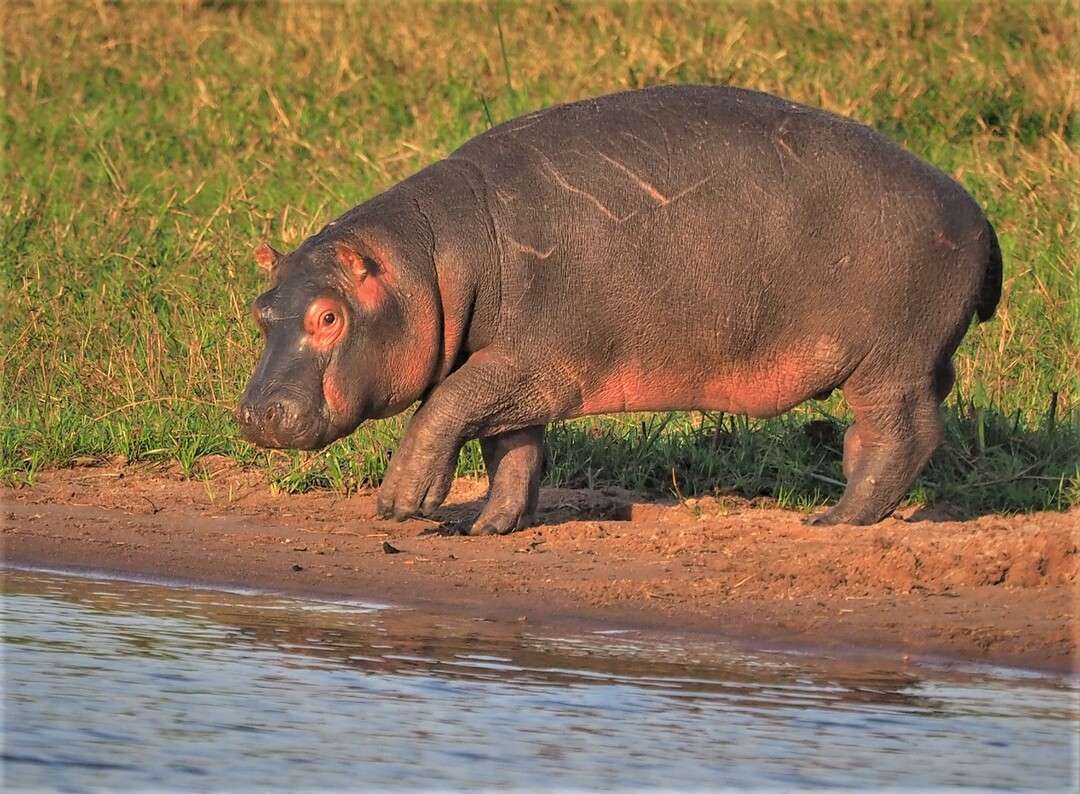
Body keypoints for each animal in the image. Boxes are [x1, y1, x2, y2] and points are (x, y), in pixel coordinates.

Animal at [237, 84, 1001, 532]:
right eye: (260, 308)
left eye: (329, 316)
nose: (254, 414)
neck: (431, 263)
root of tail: (978, 216)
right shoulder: (509, 366)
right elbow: (512, 447)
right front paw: (489, 525)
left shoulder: (532, 363)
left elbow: (444, 409)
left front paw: (403, 506)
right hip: (903, 362)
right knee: (878, 437)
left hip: (890, 360)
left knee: (905, 433)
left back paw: (837, 521)